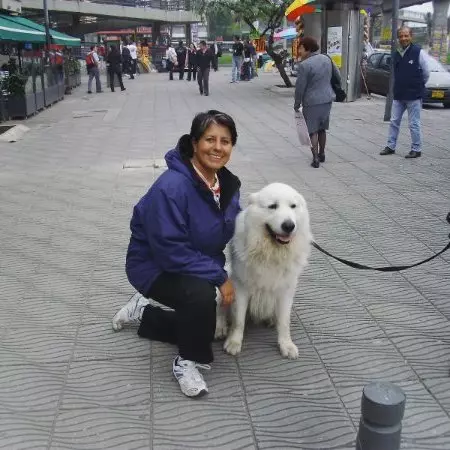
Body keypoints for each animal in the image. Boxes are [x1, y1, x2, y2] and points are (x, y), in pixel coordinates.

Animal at [216, 183, 312, 358]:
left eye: (293, 206)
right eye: (273, 206)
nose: (289, 226)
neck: (271, 251)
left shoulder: (286, 290)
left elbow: (284, 322)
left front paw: (286, 345)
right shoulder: (241, 288)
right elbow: (238, 320)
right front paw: (234, 342)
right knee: (220, 309)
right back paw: (220, 328)